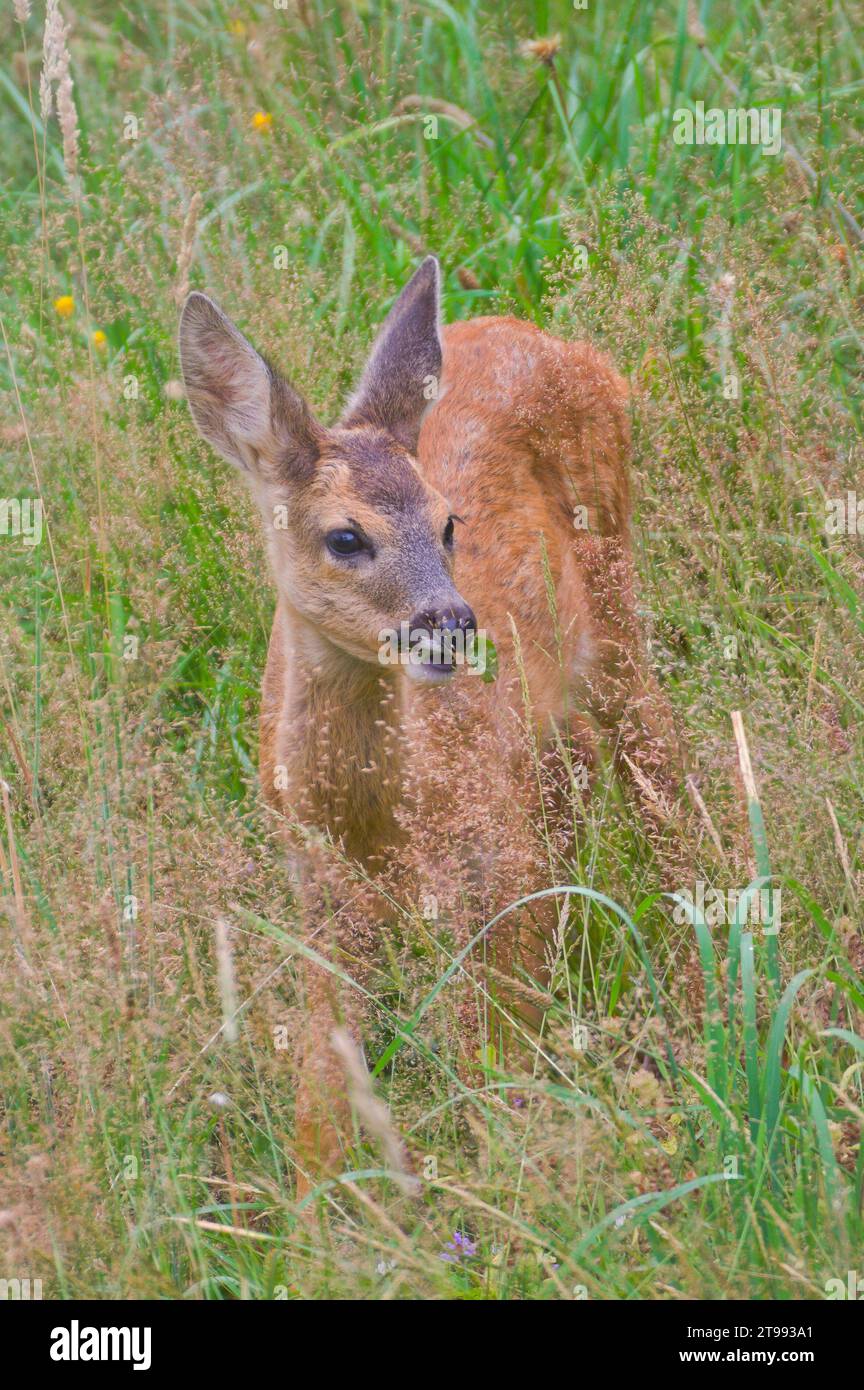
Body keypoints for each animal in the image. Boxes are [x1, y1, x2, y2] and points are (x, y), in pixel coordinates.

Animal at [179, 256, 682, 1197]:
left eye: (450, 523)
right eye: (345, 537)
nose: (452, 624)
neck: (375, 820)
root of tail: (537, 333)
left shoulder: (494, 867)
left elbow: (495, 1063)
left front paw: (508, 1188)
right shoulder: (319, 895)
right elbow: (324, 1086)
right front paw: (313, 1213)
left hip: (613, 591)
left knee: (664, 772)